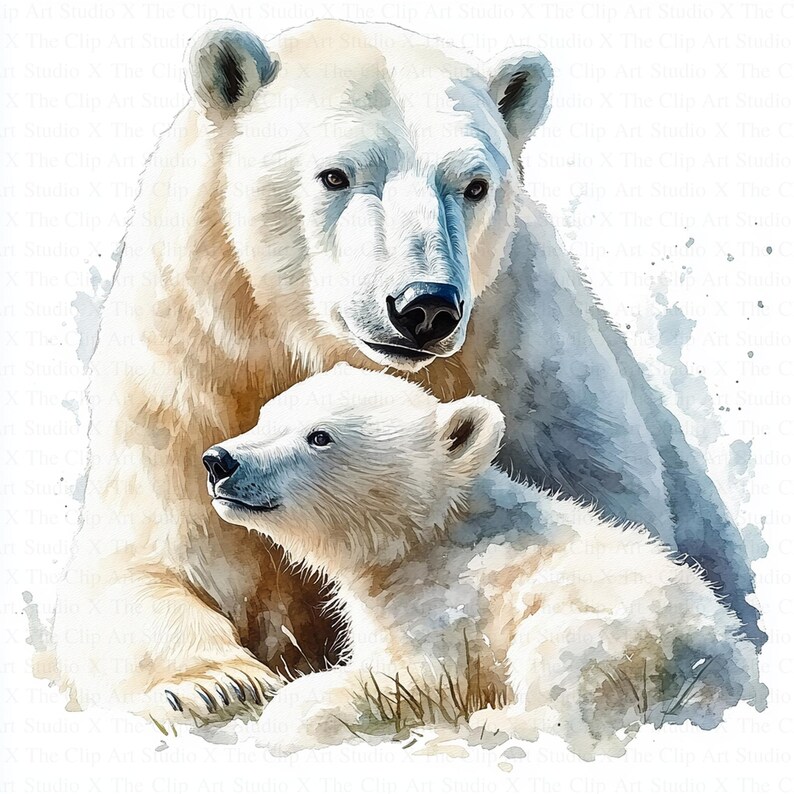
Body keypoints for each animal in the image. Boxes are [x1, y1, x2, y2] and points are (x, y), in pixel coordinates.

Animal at [206, 364, 764, 758]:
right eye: (265, 417)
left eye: (319, 436)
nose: (219, 460)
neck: (430, 535)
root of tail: (731, 674)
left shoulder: (453, 607)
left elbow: (420, 679)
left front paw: (292, 715)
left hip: (627, 630)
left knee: (564, 669)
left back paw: (502, 723)